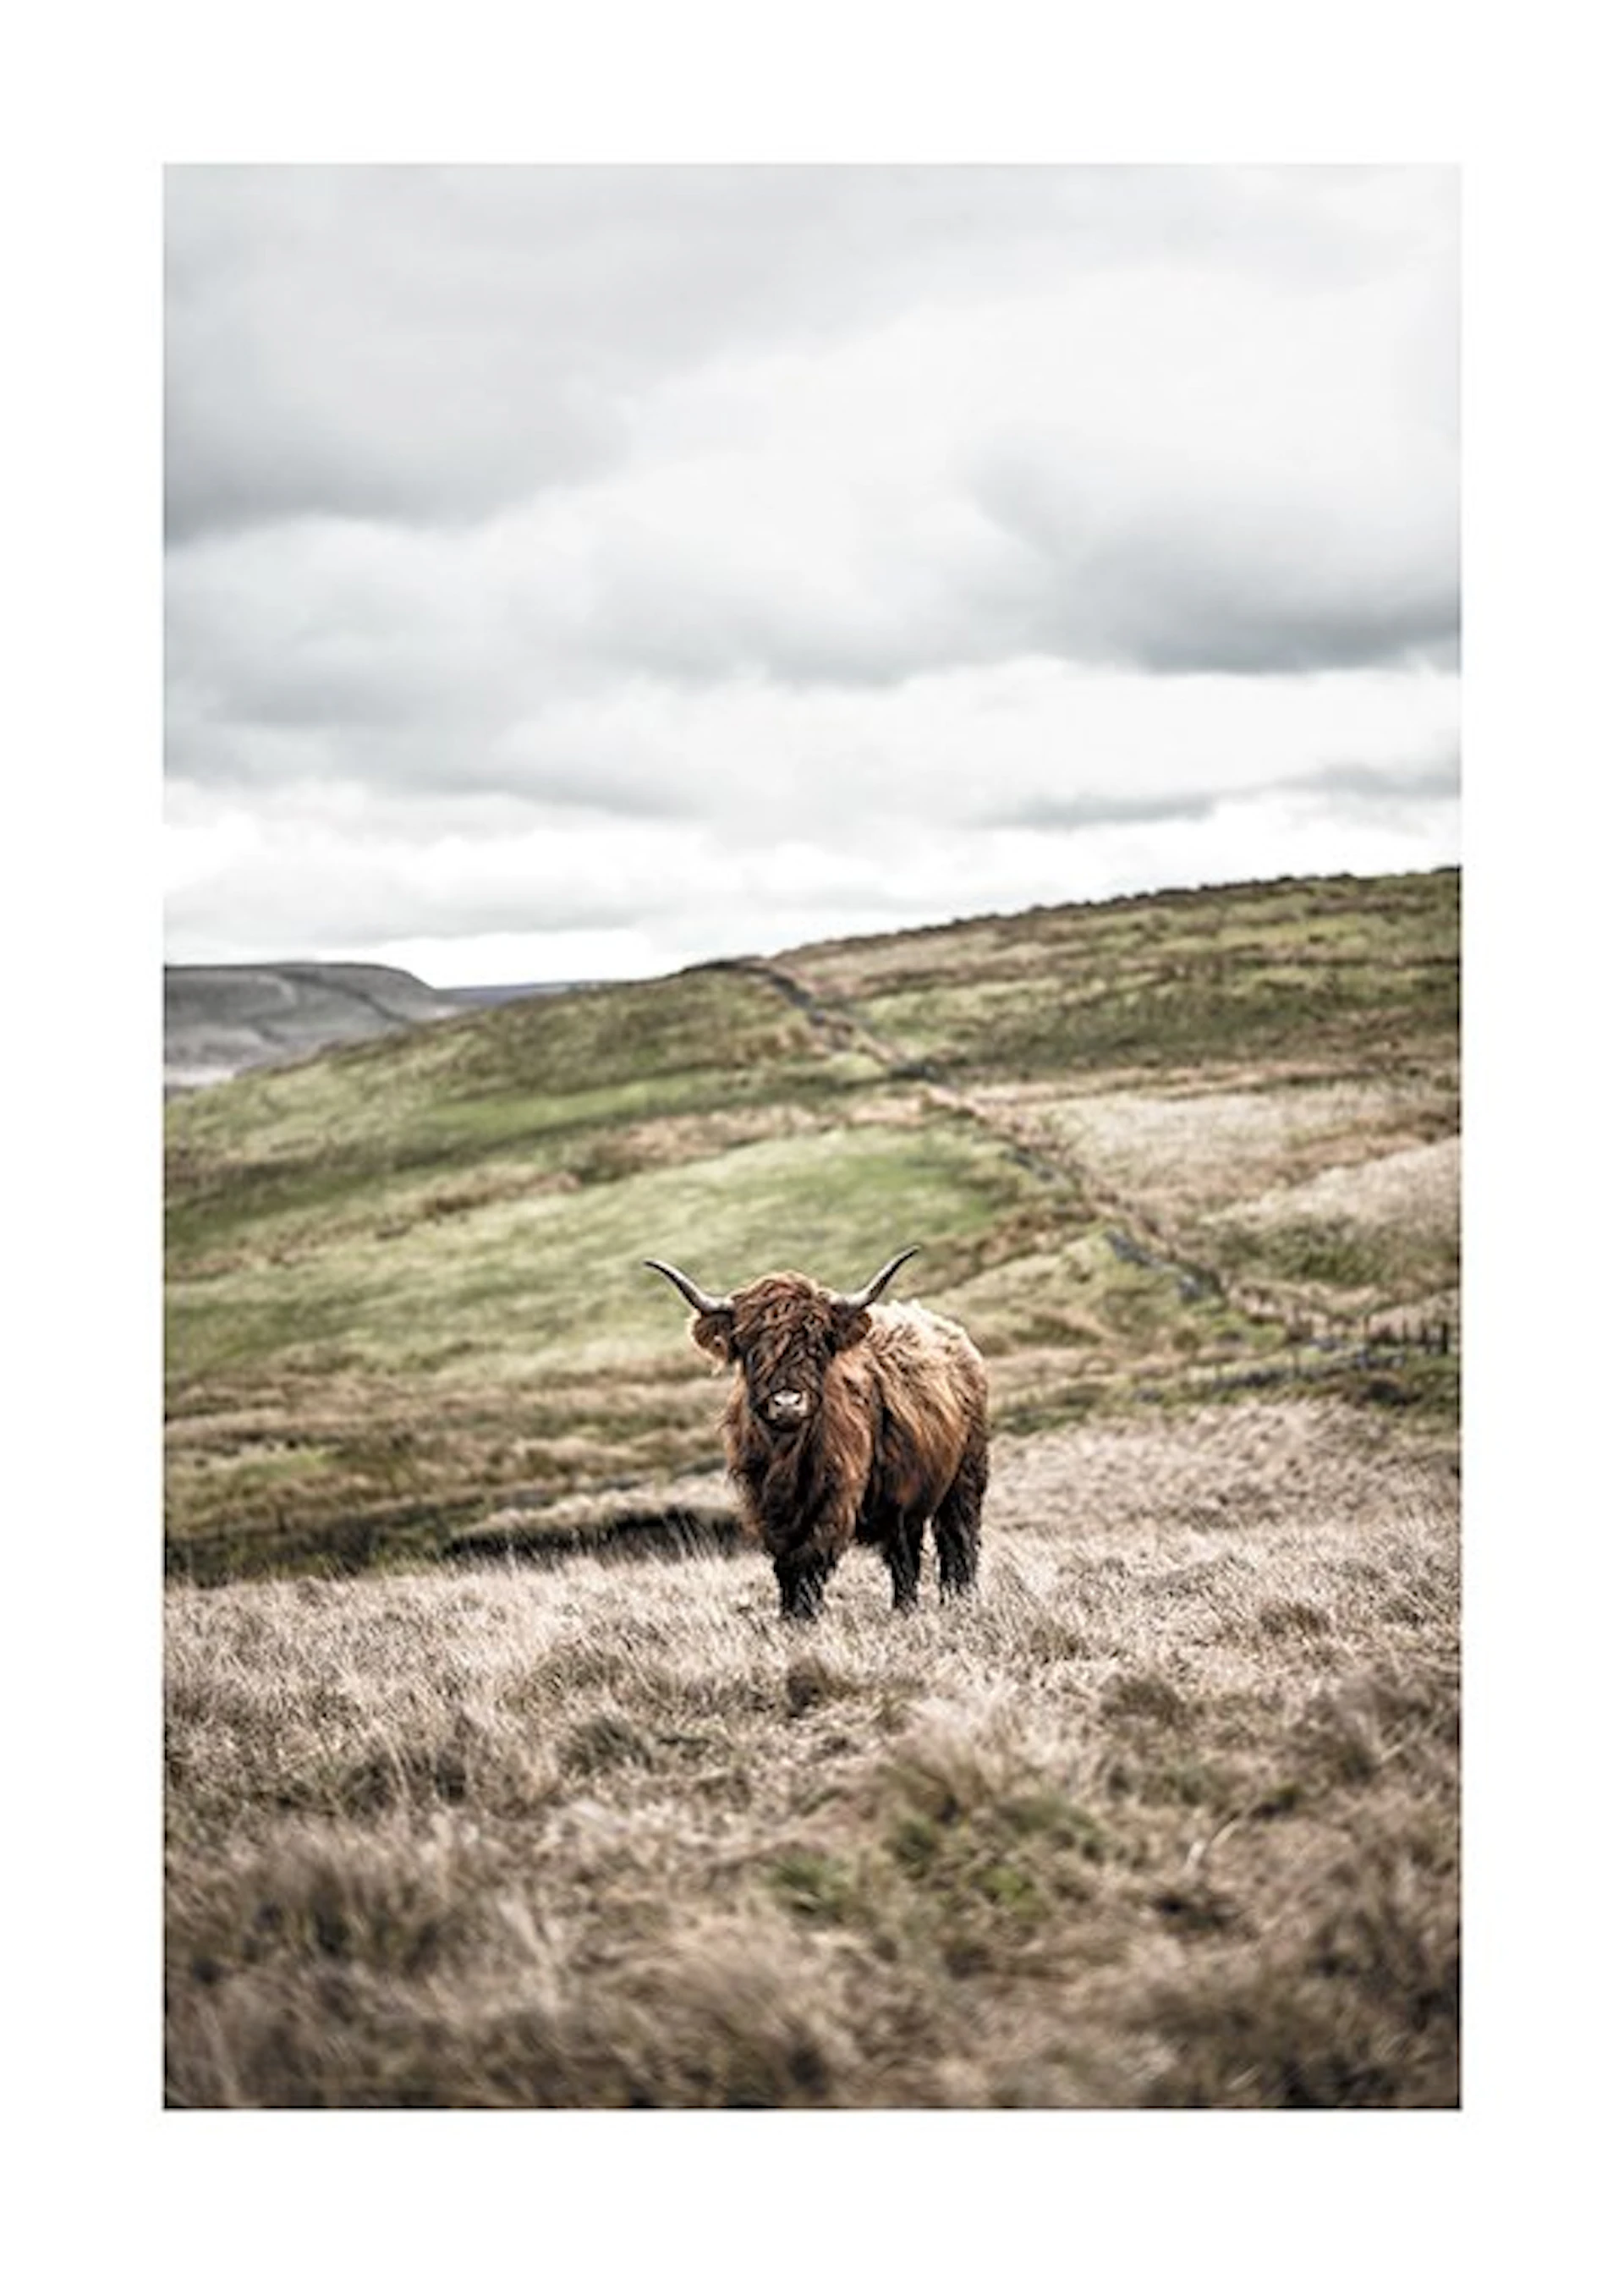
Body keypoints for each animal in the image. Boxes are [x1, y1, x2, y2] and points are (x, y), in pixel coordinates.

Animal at [643, 1247, 988, 1620]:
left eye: (817, 1342)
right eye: (750, 1345)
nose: (787, 1403)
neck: (786, 1455)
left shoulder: (835, 1492)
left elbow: (811, 1554)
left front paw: (806, 1615)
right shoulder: (764, 1500)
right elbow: (785, 1561)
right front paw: (788, 1615)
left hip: (966, 1476)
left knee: (958, 1537)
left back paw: (959, 1599)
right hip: (905, 1491)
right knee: (905, 1551)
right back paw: (905, 1607)